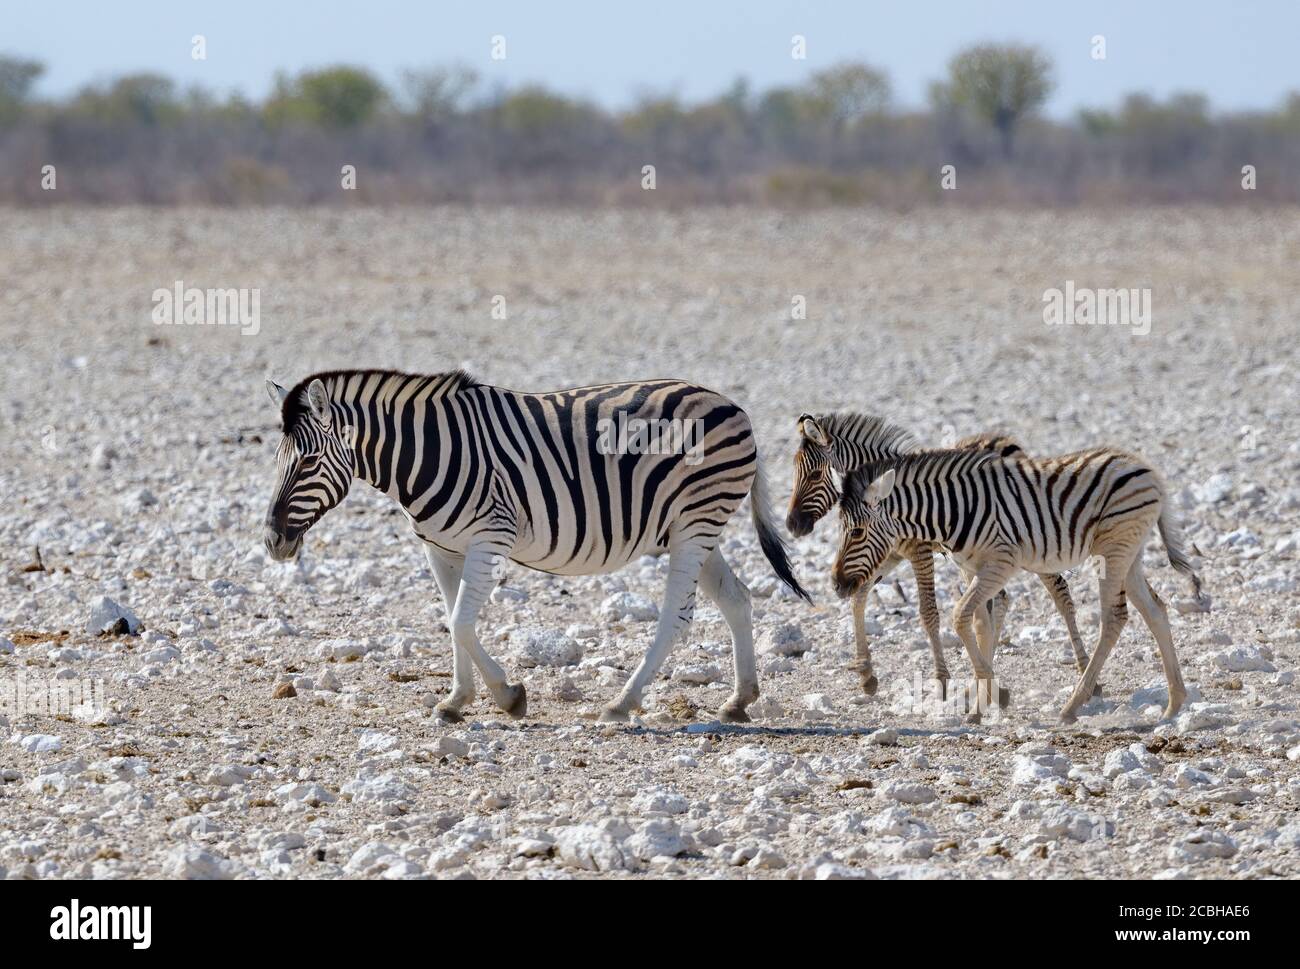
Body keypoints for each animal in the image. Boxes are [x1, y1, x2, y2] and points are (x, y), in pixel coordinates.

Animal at [262, 369, 809, 724]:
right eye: (277, 459)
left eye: (308, 462)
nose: (272, 542)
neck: (426, 455)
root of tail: (734, 406)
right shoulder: (440, 548)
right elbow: (453, 622)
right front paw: (458, 700)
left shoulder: (490, 536)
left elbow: (461, 622)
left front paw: (508, 697)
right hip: (691, 528)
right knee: (736, 599)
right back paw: (739, 701)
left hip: (697, 521)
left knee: (678, 615)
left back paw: (624, 702)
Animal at [786, 413, 1087, 697]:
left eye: (814, 475)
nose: (792, 525)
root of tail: (1005, 440)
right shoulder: (889, 554)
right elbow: (859, 598)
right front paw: (866, 673)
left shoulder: (919, 552)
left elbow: (928, 612)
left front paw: (941, 679)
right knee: (999, 600)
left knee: (1059, 591)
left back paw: (1085, 673)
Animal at [831, 439, 1202, 723]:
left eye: (857, 532)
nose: (837, 584)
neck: (952, 510)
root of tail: (1146, 467)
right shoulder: (975, 568)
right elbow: (978, 623)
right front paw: (980, 704)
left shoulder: (1001, 563)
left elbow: (960, 616)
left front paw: (993, 693)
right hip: (1130, 553)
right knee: (1155, 611)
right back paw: (1174, 703)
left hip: (1114, 548)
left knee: (1115, 617)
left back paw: (1073, 705)